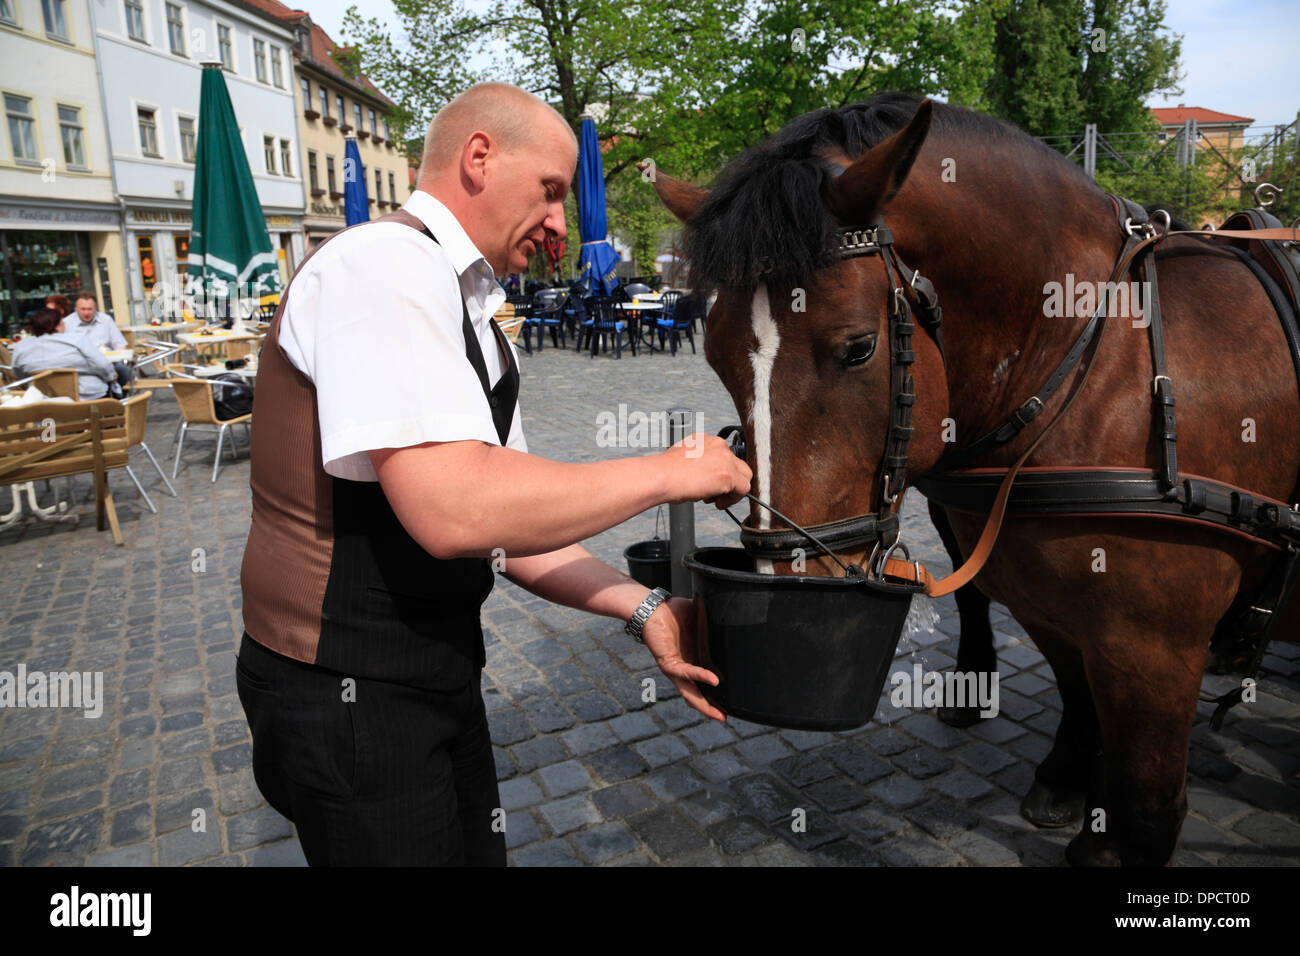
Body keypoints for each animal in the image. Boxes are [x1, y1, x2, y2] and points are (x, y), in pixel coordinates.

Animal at [646, 92, 1300, 866]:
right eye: (715, 353)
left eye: (859, 347)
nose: (791, 574)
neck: (1099, 365)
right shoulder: (1048, 602)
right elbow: (1071, 684)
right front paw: (1067, 776)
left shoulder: (1156, 654)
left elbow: (1146, 813)